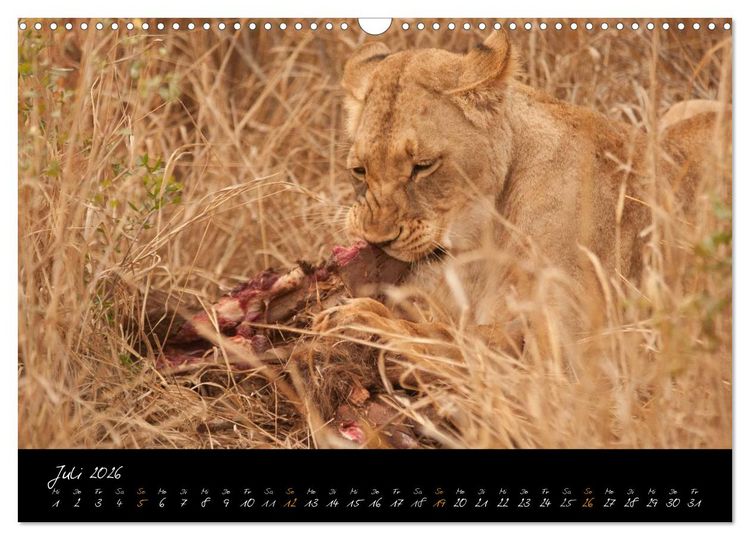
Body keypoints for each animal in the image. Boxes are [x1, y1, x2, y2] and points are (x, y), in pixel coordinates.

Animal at [313, 31, 731, 356]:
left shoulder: (574, 347)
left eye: (423, 166)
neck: (482, 238)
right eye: (359, 170)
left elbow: (458, 337)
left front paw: (360, 317)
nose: (376, 240)